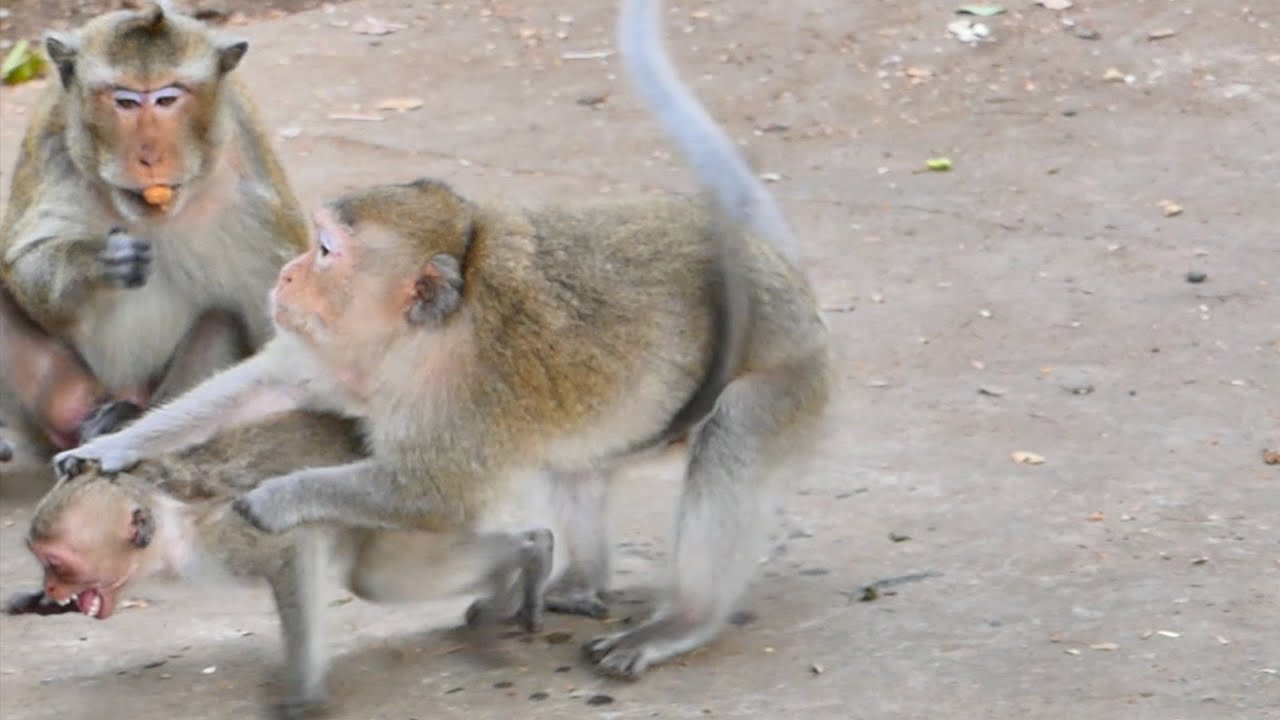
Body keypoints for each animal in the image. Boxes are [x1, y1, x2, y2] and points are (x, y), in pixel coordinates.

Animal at [0, 3, 309, 460]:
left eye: (167, 99)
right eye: (126, 101)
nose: (149, 156)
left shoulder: (253, 176)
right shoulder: (50, 139)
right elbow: (23, 266)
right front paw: (101, 260)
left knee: (220, 320)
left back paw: (121, 418)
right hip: (58, 389)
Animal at [13, 411, 554, 718]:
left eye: (60, 565)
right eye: (45, 566)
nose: (54, 589)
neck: (169, 532)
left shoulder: (227, 532)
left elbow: (292, 552)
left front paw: (306, 693)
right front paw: (28, 603)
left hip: (410, 512)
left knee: (380, 577)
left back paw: (529, 553)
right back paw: (526, 559)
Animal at [56, 0, 831, 680]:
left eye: (326, 251)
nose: (287, 273)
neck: (414, 341)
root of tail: (776, 270)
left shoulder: (472, 391)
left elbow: (433, 491)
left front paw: (279, 497)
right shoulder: (337, 347)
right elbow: (265, 383)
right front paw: (110, 448)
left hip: (791, 377)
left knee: (733, 439)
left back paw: (686, 621)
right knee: (574, 461)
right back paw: (579, 580)